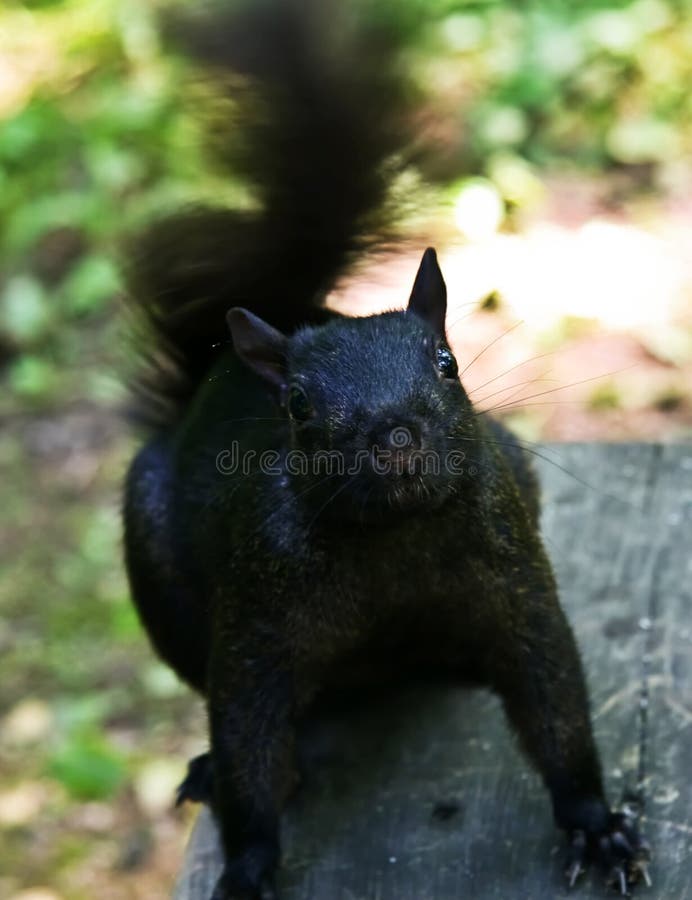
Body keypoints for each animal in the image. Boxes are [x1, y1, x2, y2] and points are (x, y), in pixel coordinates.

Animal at [122, 2, 649, 898]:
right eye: (298, 407)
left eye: (447, 362)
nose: (396, 433)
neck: (394, 543)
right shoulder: (255, 632)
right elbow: (247, 742)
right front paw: (248, 864)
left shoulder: (516, 583)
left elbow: (554, 698)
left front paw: (595, 824)